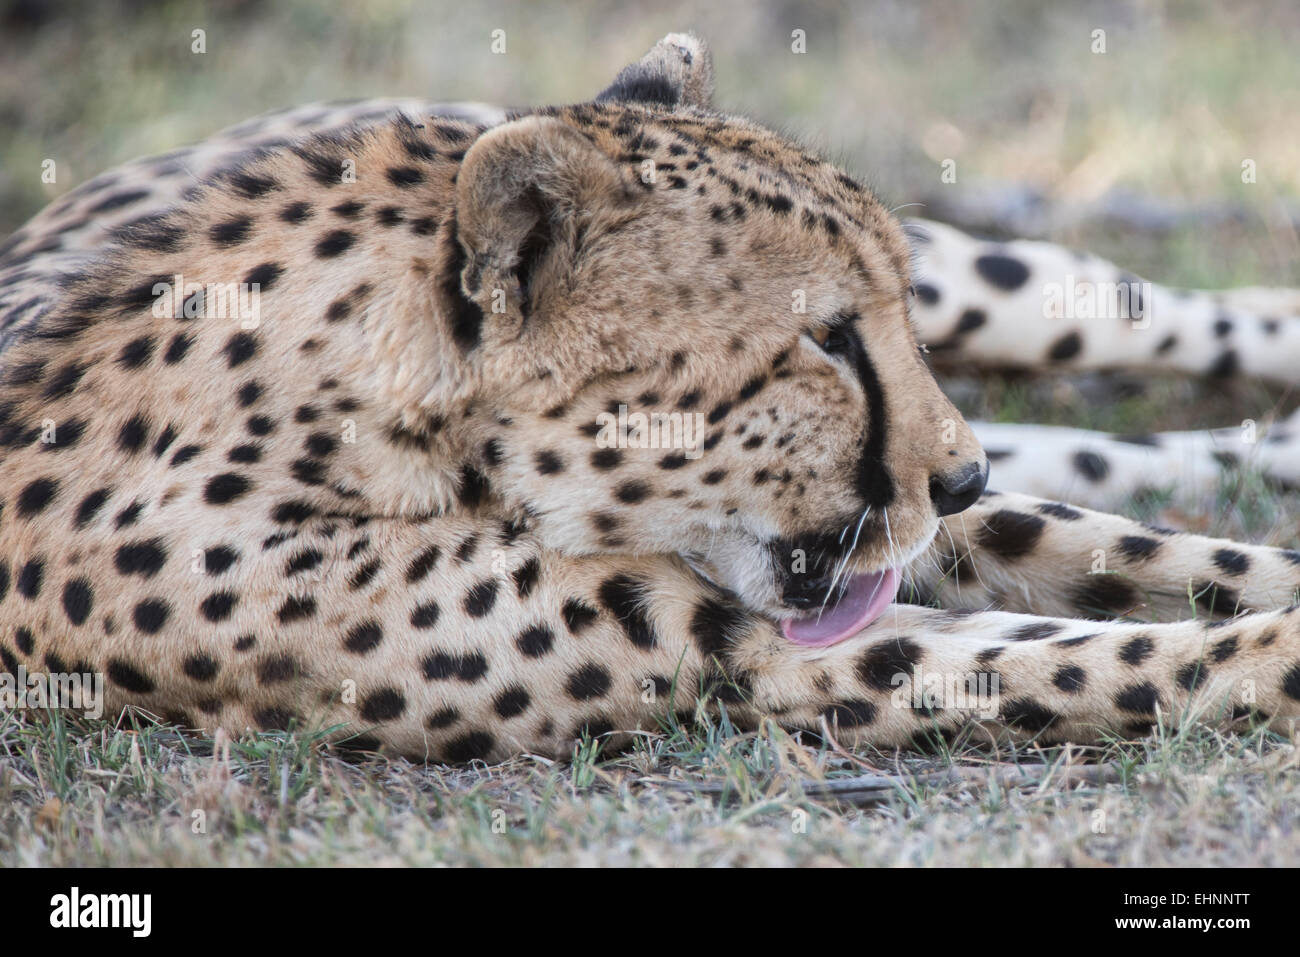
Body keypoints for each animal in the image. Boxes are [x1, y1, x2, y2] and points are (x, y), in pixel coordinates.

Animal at [2, 33, 1300, 763]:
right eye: (827, 338)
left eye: (880, 319)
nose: (961, 474)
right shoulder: (726, 653)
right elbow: (1090, 659)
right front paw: (1275, 655)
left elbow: (1157, 560)